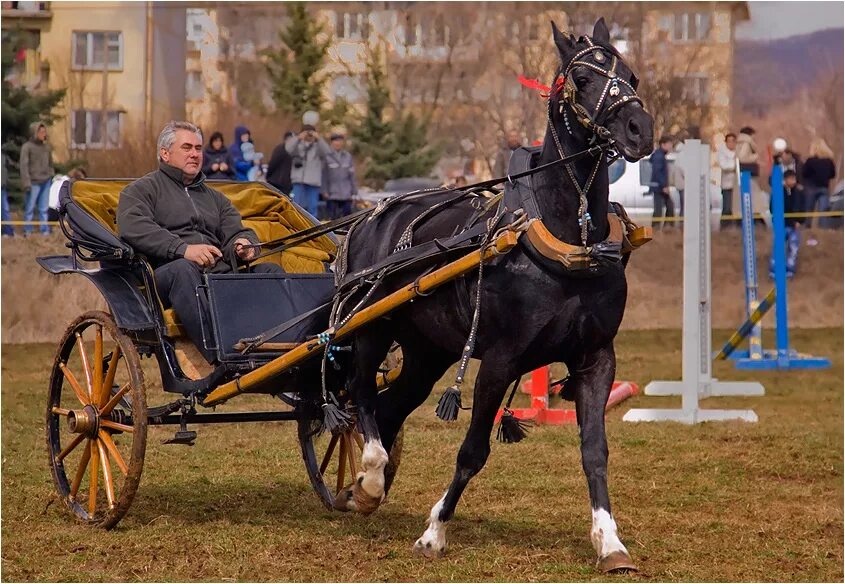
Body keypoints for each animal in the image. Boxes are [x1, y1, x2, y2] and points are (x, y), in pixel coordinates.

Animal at [330, 18, 652, 572]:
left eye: (630, 75)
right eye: (583, 79)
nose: (640, 129)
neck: (567, 238)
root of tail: (373, 214)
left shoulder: (597, 358)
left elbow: (595, 450)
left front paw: (610, 542)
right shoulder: (501, 359)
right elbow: (473, 450)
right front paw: (434, 531)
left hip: (427, 351)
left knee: (392, 405)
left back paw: (362, 487)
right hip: (371, 327)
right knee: (363, 396)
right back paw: (369, 476)